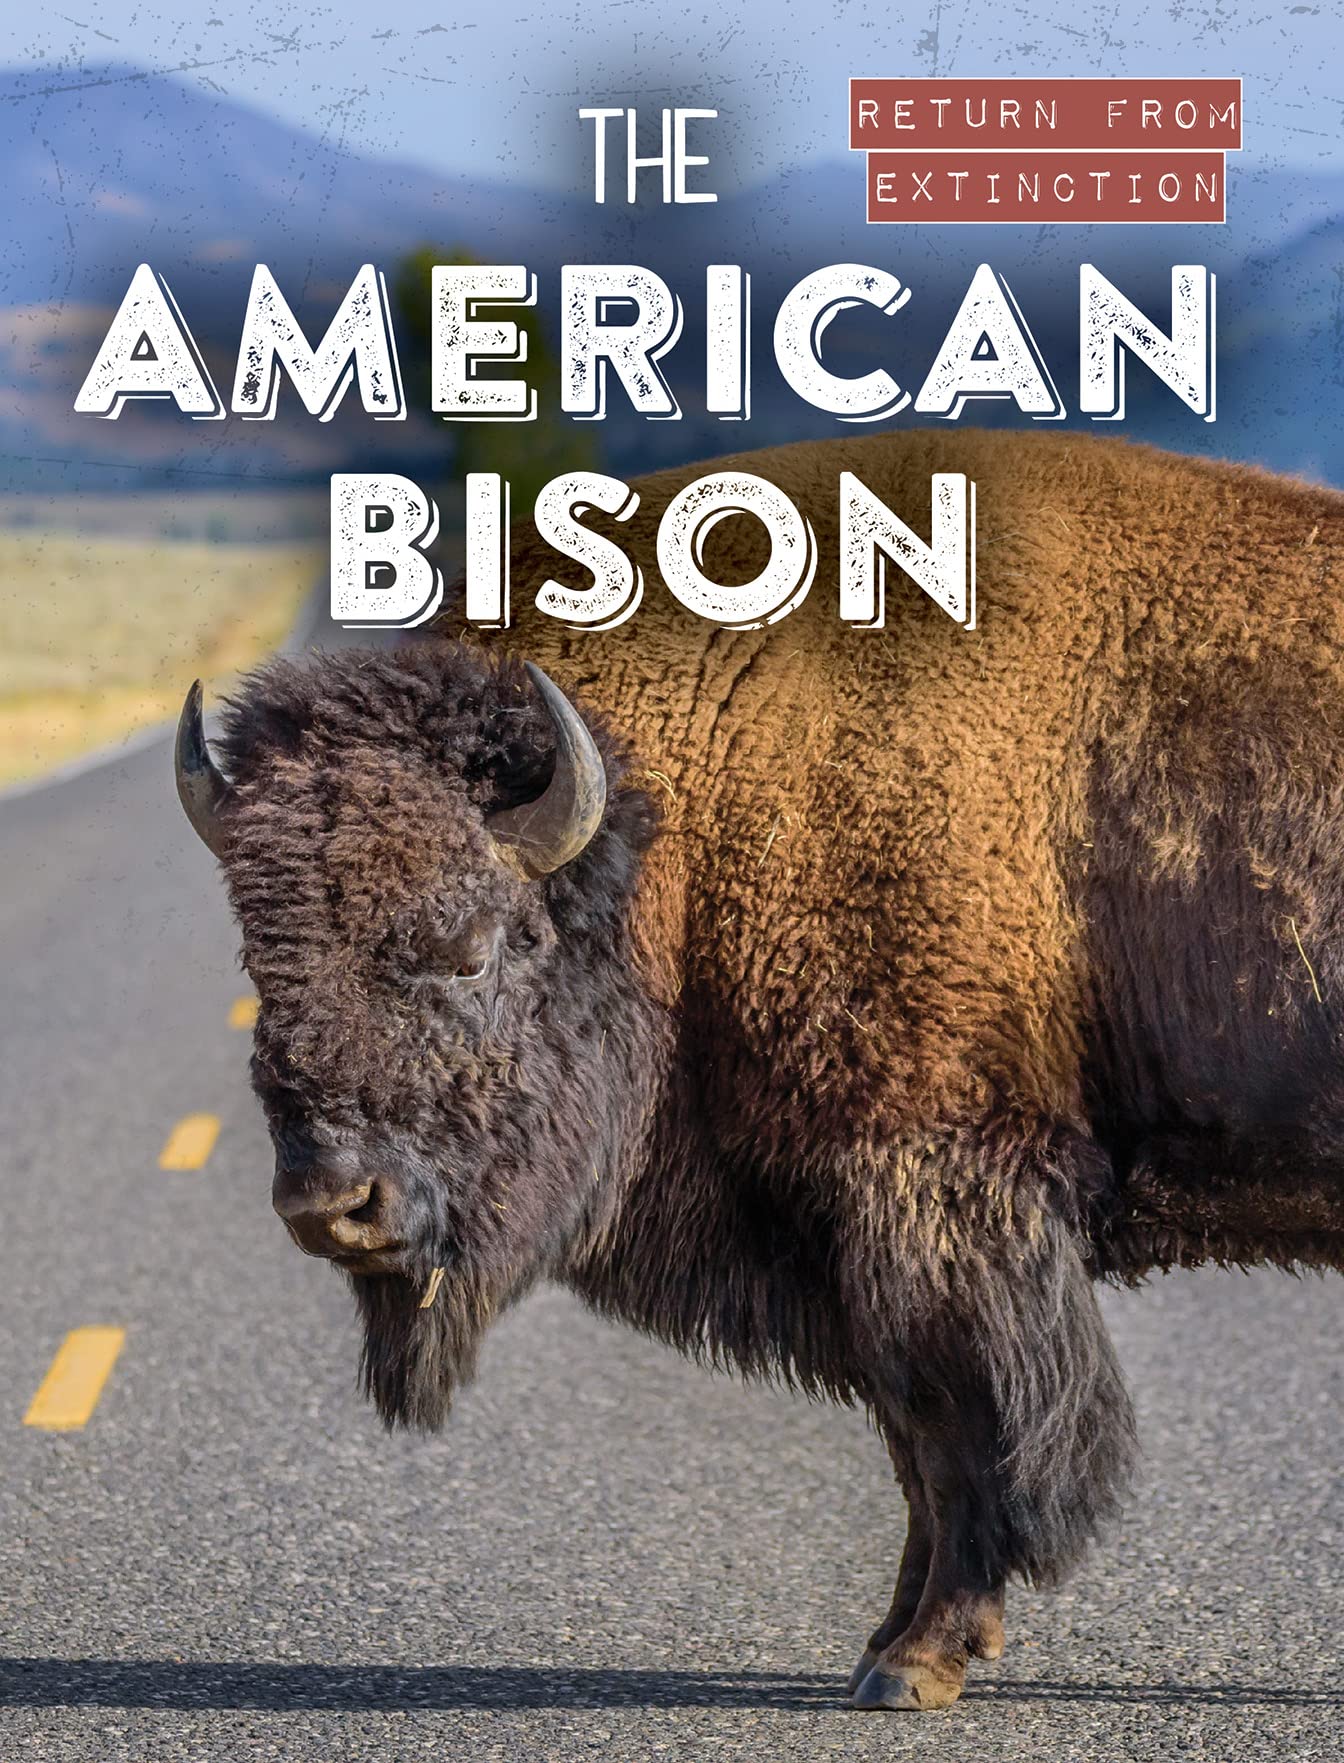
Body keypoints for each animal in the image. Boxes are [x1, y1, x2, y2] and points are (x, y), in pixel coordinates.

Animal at [177, 430, 1344, 1711]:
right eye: (262, 956)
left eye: (473, 943)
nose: (333, 1203)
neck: (683, 818)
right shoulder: (845, 1229)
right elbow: (916, 1442)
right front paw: (889, 1642)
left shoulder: (931, 1198)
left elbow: (964, 1426)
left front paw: (919, 1659)